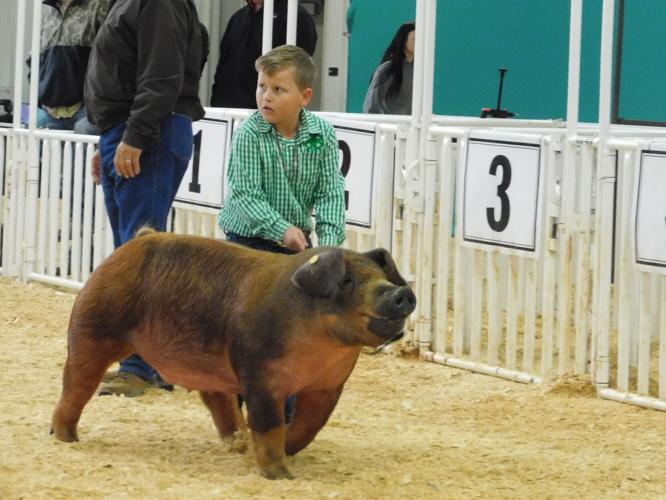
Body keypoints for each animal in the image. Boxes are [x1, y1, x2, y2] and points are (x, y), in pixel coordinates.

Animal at [51, 228, 416, 479]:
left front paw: (284, 453)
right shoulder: (259, 373)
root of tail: (140, 237)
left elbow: (309, 427)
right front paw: (280, 475)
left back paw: (238, 443)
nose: (401, 292)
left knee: (217, 400)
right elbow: (269, 424)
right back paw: (66, 438)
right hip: (92, 326)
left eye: (382, 277)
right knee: (77, 385)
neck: (322, 347)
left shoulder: (329, 385)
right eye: (349, 281)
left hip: (208, 365)